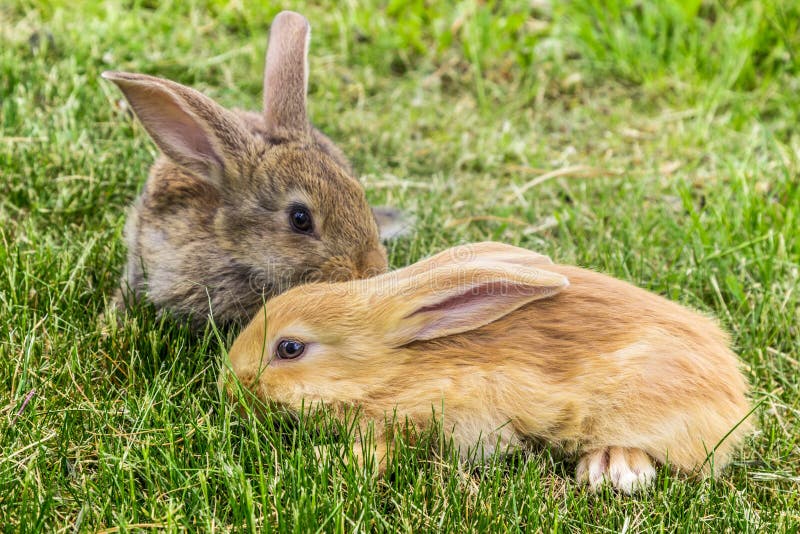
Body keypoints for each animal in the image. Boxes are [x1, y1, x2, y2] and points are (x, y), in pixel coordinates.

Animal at [222, 241, 753, 494]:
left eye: (290, 348)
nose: (233, 384)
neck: (393, 366)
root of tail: (733, 390)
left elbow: (381, 449)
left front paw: (325, 461)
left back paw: (612, 470)